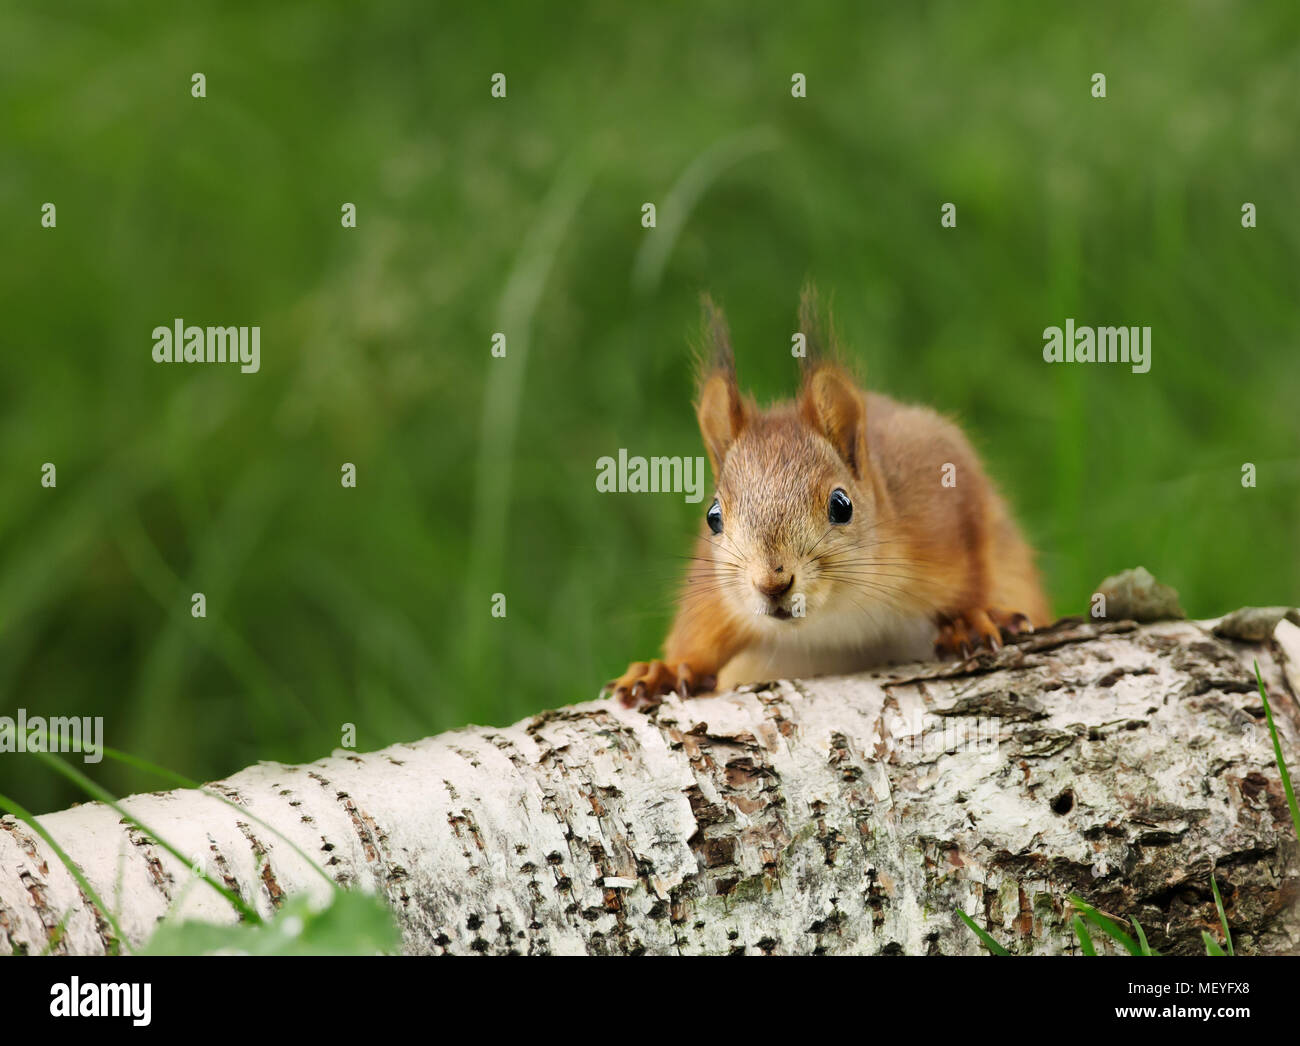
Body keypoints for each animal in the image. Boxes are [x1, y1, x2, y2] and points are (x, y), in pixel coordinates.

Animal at [606, 287, 1050, 707]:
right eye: (713, 516)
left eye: (842, 505)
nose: (772, 583)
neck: (837, 617)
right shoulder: (714, 591)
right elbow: (698, 629)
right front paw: (666, 669)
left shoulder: (944, 498)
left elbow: (978, 566)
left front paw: (969, 619)